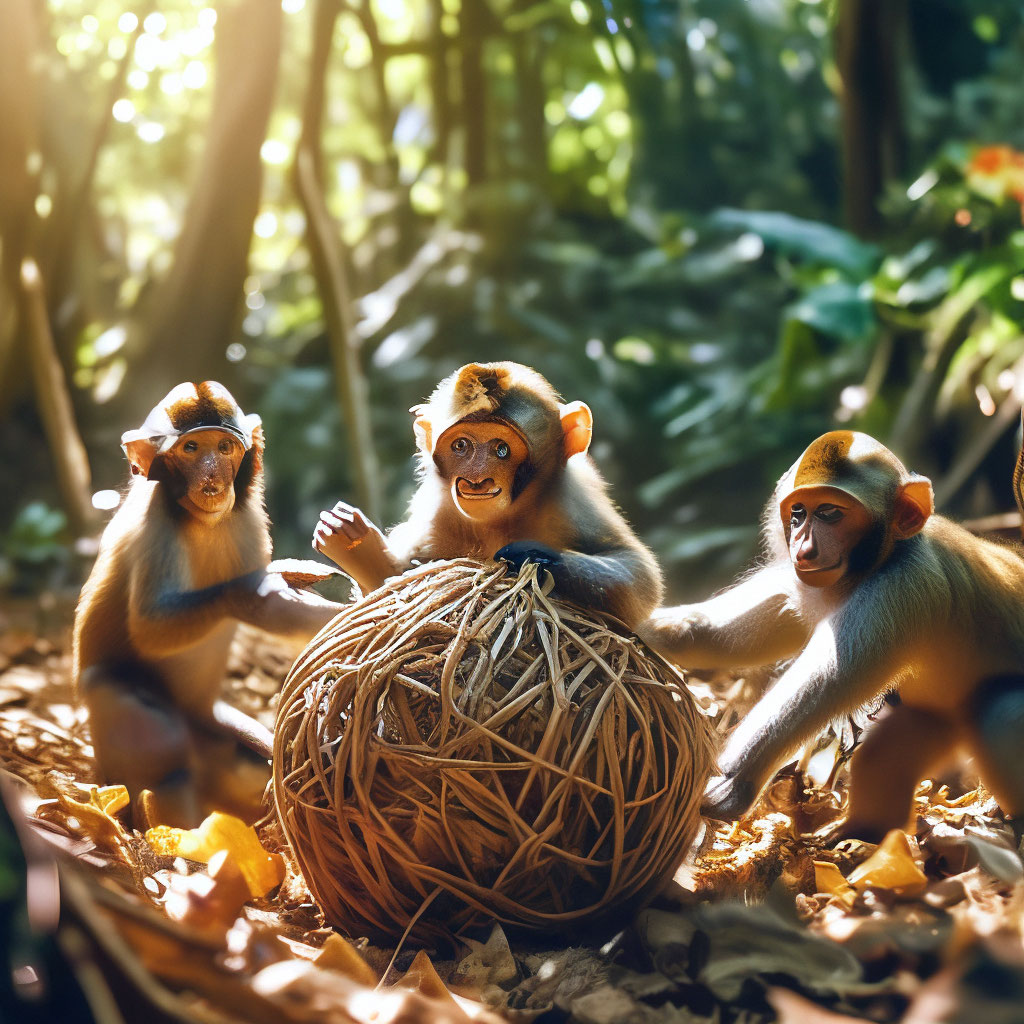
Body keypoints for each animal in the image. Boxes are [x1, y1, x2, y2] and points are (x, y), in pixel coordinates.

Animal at [73, 381, 344, 828]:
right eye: (191, 448)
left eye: (224, 447)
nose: (214, 477)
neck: (203, 522)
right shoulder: (155, 526)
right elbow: (151, 628)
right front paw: (266, 595)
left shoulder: (250, 520)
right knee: (162, 748)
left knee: (261, 756)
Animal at [313, 361, 663, 628]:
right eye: (461, 446)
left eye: (501, 449)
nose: (477, 480)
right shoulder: (440, 516)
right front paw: (358, 547)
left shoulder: (570, 502)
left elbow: (638, 576)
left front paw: (532, 557)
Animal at [637, 430, 1024, 842]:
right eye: (797, 513)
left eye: (829, 513)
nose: (803, 548)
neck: (884, 556)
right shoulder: (799, 584)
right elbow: (705, 634)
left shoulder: (899, 585)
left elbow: (825, 682)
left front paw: (730, 784)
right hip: (941, 720)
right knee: (894, 743)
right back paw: (865, 834)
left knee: (1000, 711)